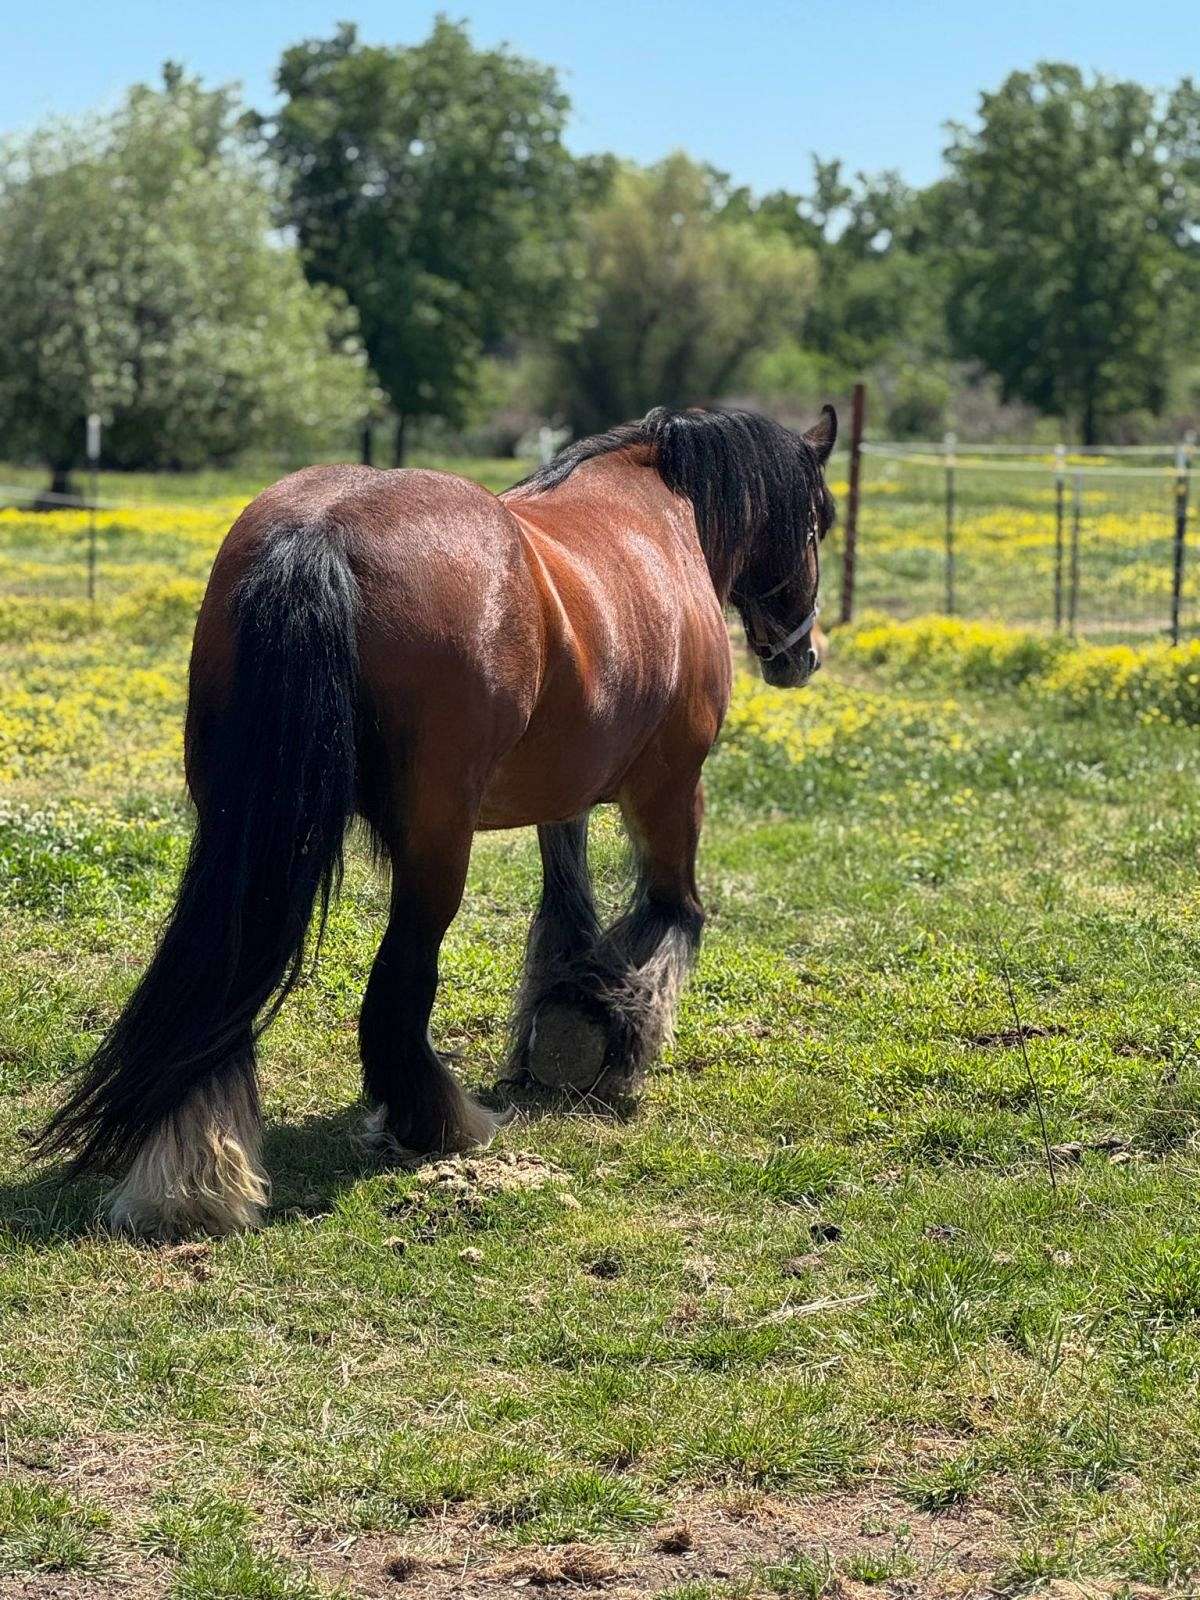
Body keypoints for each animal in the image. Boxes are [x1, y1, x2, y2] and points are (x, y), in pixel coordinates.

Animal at [36, 404, 838, 1237]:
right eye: (822, 519)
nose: (802, 655)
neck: (658, 512)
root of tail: (321, 532)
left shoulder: (567, 792)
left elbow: (566, 908)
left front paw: (571, 1022)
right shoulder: (672, 787)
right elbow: (671, 913)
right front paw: (619, 1035)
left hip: (242, 831)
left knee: (225, 978)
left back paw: (194, 1171)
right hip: (436, 844)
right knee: (400, 983)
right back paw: (437, 1122)